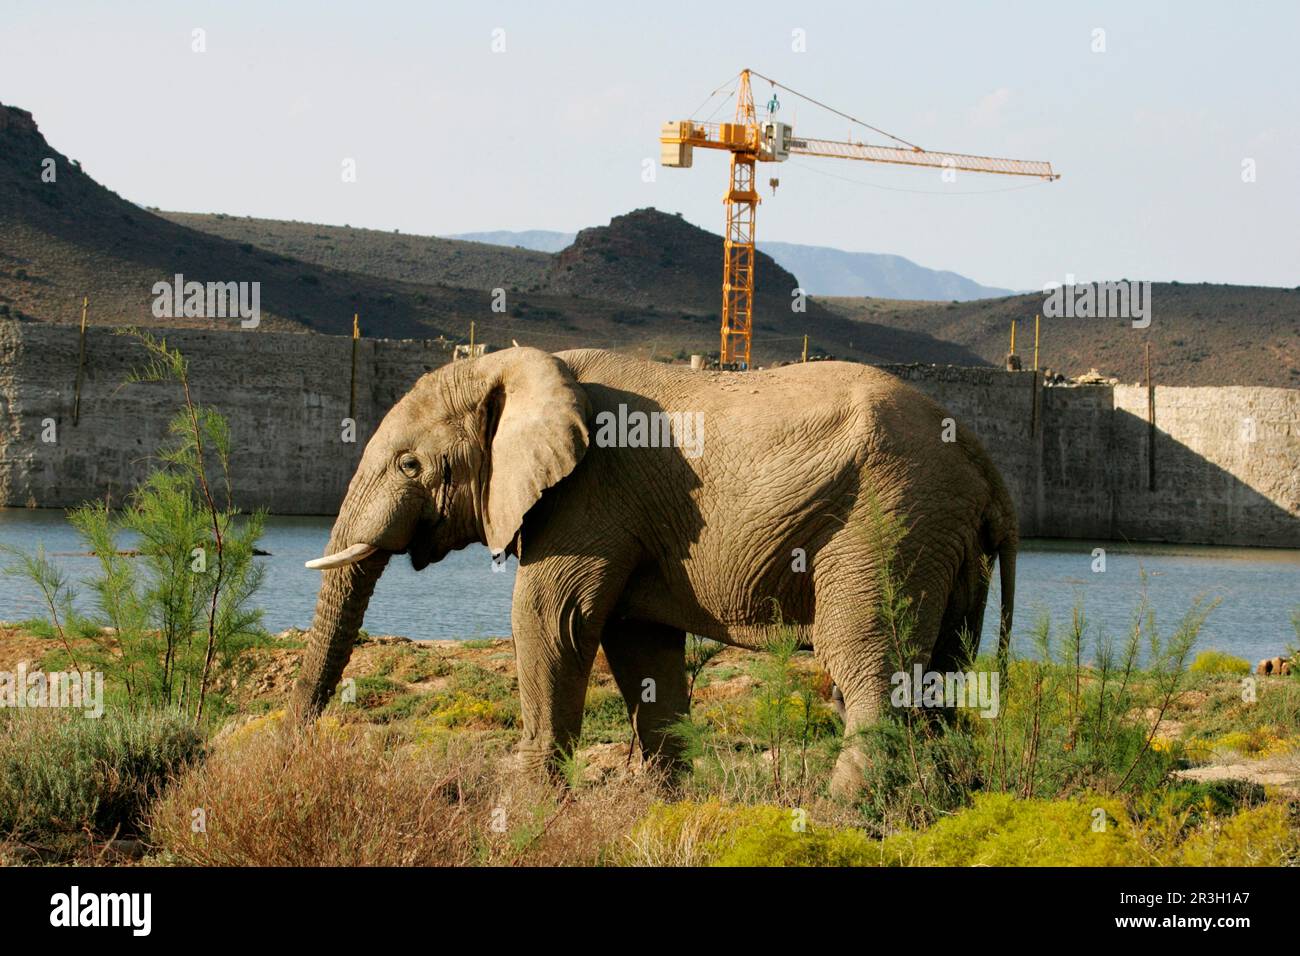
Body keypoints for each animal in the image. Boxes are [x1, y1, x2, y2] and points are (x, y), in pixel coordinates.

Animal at [292, 346, 1017, 798]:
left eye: (411, 465)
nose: (295, 744)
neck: (520, 364)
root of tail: (981, 454)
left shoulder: (590, 494)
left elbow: (550, 619)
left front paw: (525, 808)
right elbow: (639, 644)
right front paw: (663, 802)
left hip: (888, 521)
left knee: (867, 662)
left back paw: (840, 816)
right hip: (942, 538)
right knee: (941, 670)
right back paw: (937, 806)